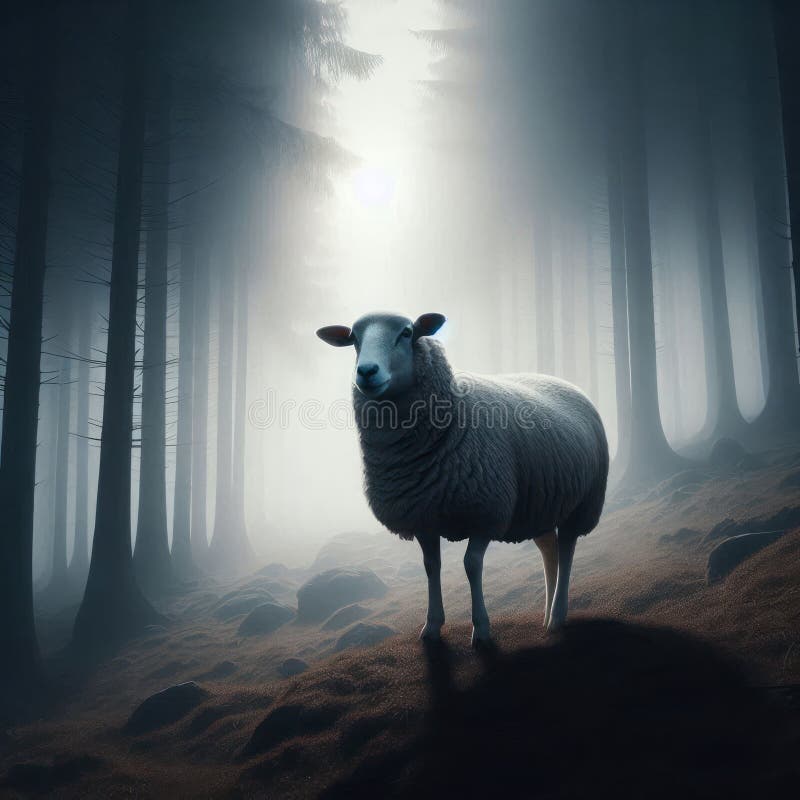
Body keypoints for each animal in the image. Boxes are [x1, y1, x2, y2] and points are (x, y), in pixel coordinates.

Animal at [317, 311, 609, 646]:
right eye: (353, 338)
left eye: (406, 332)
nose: (366, 371)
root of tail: (563, 381)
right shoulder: (423, 515)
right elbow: (431, 566)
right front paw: (431, 626)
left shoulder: (486, 511)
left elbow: (471, 565)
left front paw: (481, 629)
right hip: (541, 504)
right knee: (549, 550)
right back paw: (546, 617)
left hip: (583, 503)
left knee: (567, 548)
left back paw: (558, 617)